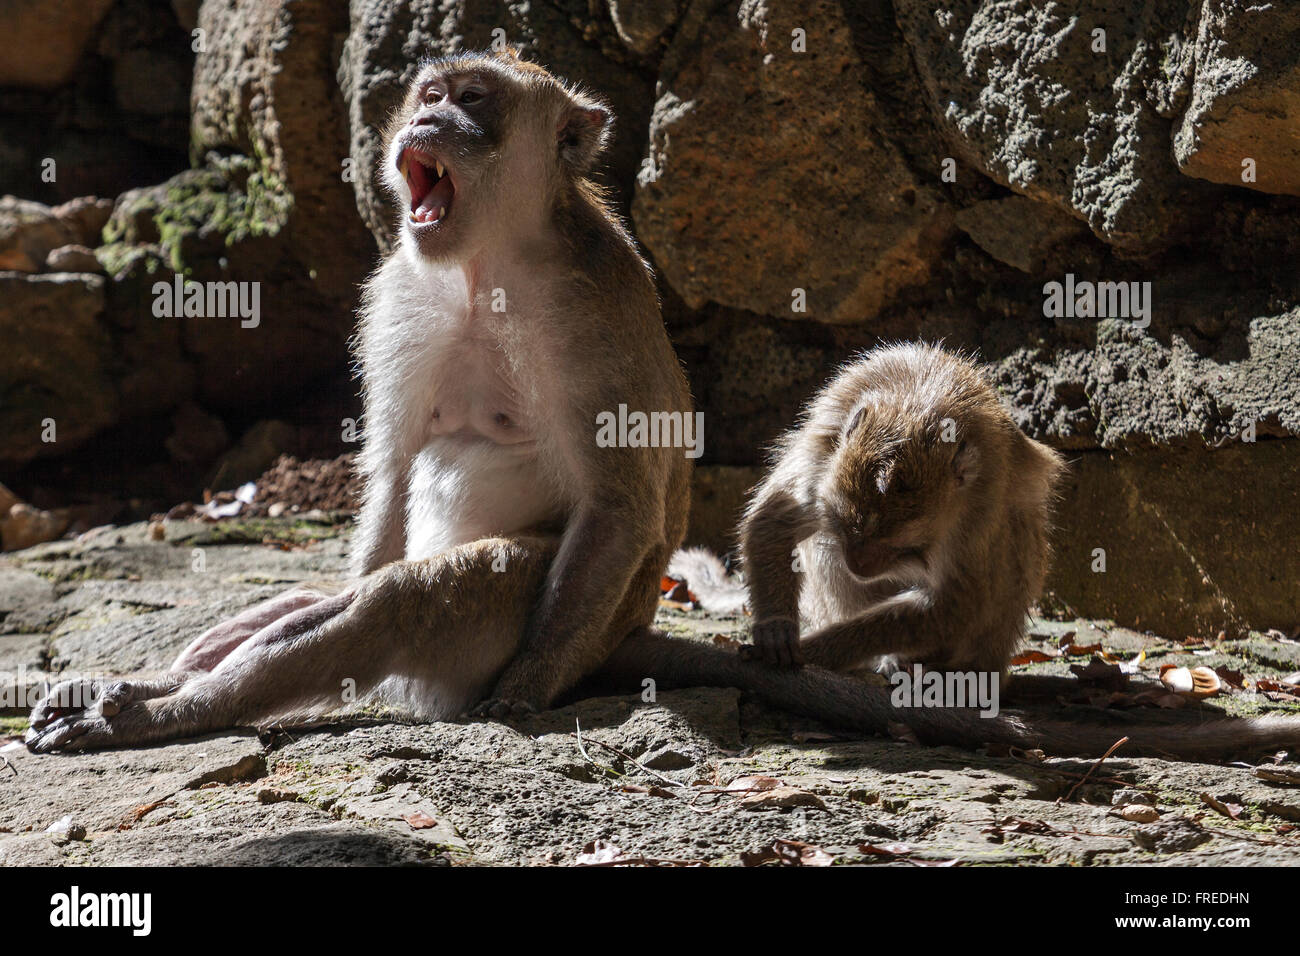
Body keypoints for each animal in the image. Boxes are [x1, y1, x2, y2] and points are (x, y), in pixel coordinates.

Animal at [24, 58, 1300, 762]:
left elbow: (623, 498)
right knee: (334, 598)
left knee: (422, 598)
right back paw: (176, 676)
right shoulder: (398, 289)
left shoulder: (595, 308)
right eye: (428, 97)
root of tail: (624, 638)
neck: (488, 262)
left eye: (470, 102)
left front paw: (525, 689)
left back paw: (166, 712)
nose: (422, 126)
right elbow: (386, 474)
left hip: (558, 613)